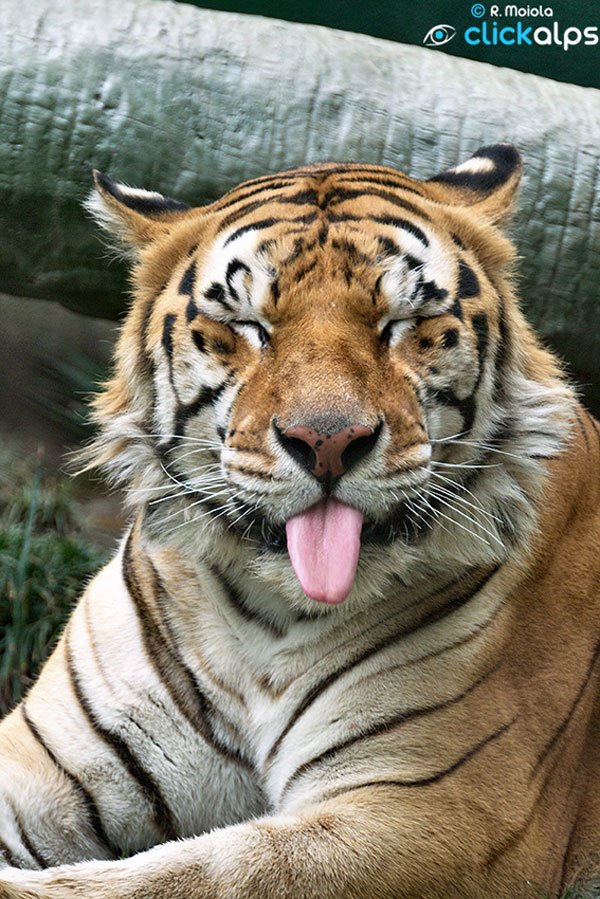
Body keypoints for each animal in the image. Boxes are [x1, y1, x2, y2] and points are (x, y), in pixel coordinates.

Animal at [0, 142, 599, 899]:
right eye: (248, 327)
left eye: (401, 325)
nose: (327, 441)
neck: (267, 616)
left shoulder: (437, 810)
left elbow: (200, 871)